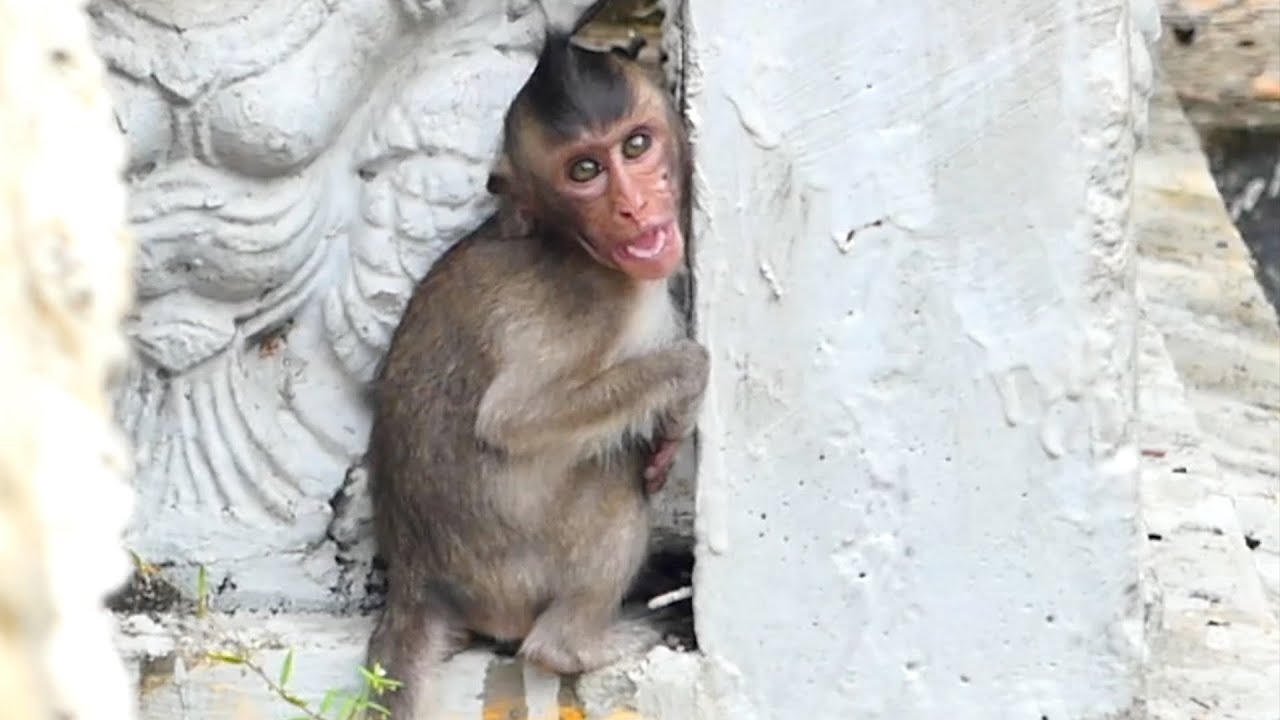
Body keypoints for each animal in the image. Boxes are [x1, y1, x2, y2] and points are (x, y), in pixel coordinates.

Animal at [362, 15, 708, 719]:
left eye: (636, 145)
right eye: (585, 170)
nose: (634, 206)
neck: (570, 243)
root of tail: (415, 581)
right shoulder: (586, 305)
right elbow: (511, 421)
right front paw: (683, 389)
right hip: (516, 578)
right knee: (610, 473)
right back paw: (575, 644)